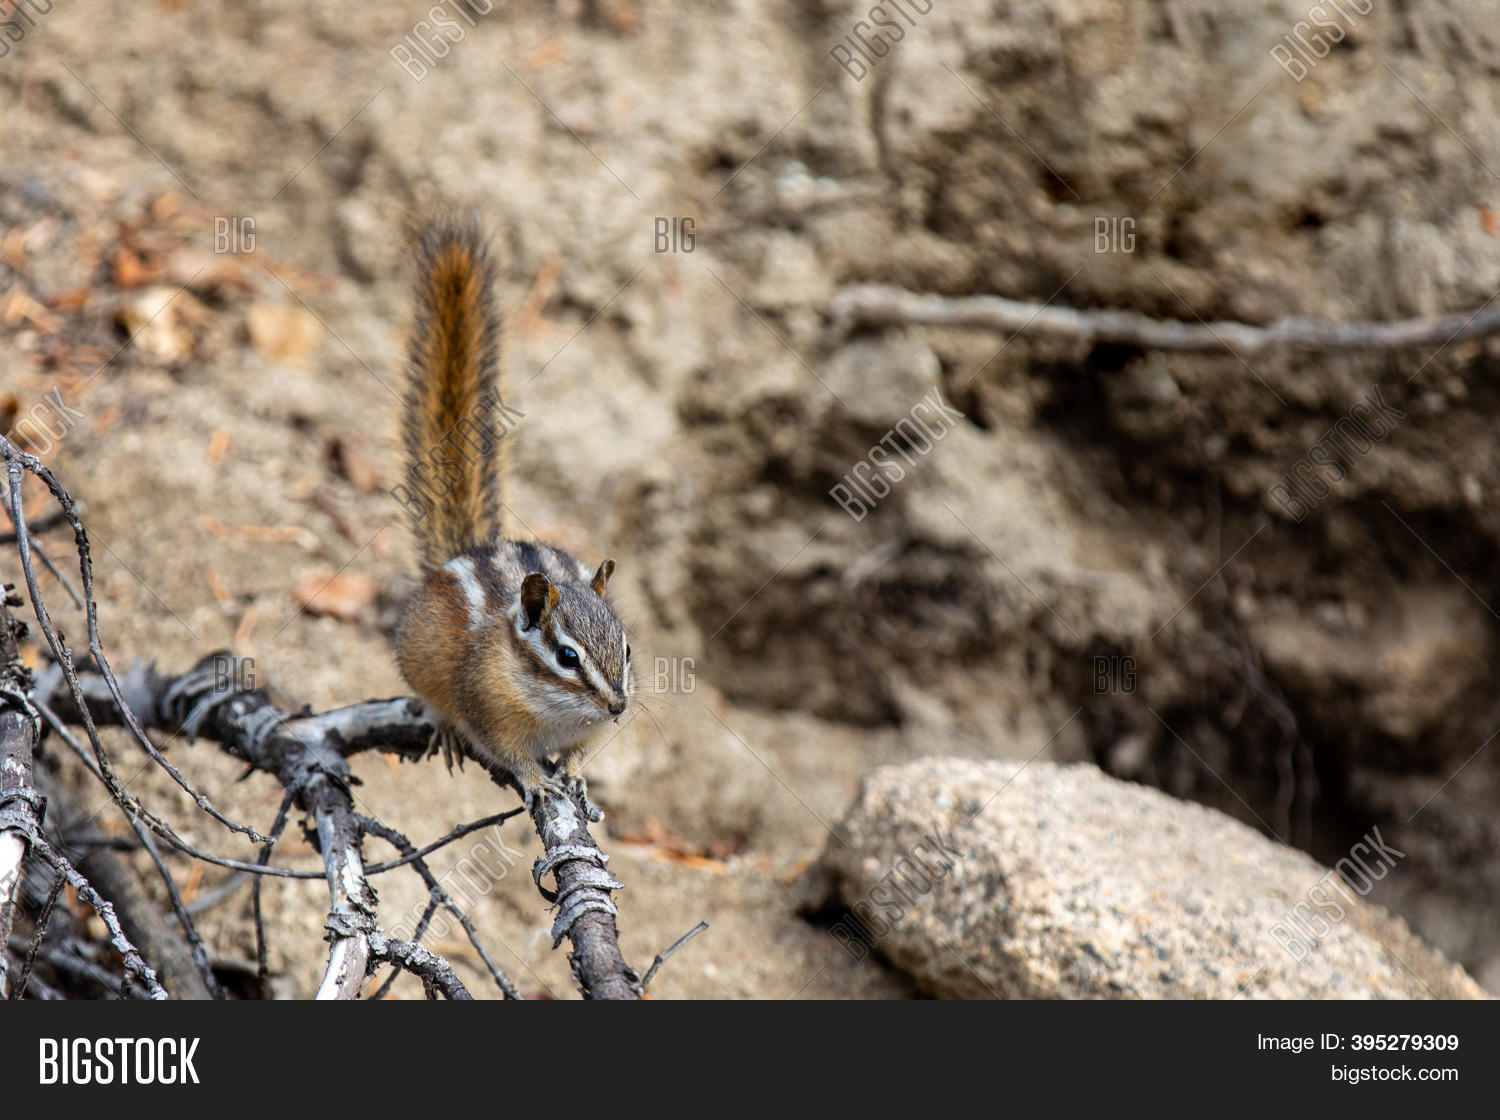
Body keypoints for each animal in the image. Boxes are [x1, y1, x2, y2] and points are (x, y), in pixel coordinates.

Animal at [393, 213, 632, 818]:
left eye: (626, 648)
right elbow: (507, 752)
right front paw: (538, 781)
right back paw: (444, 728)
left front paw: (573, 772)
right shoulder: (486, 708)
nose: (619, 707)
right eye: (567, 657)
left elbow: (578, 752)